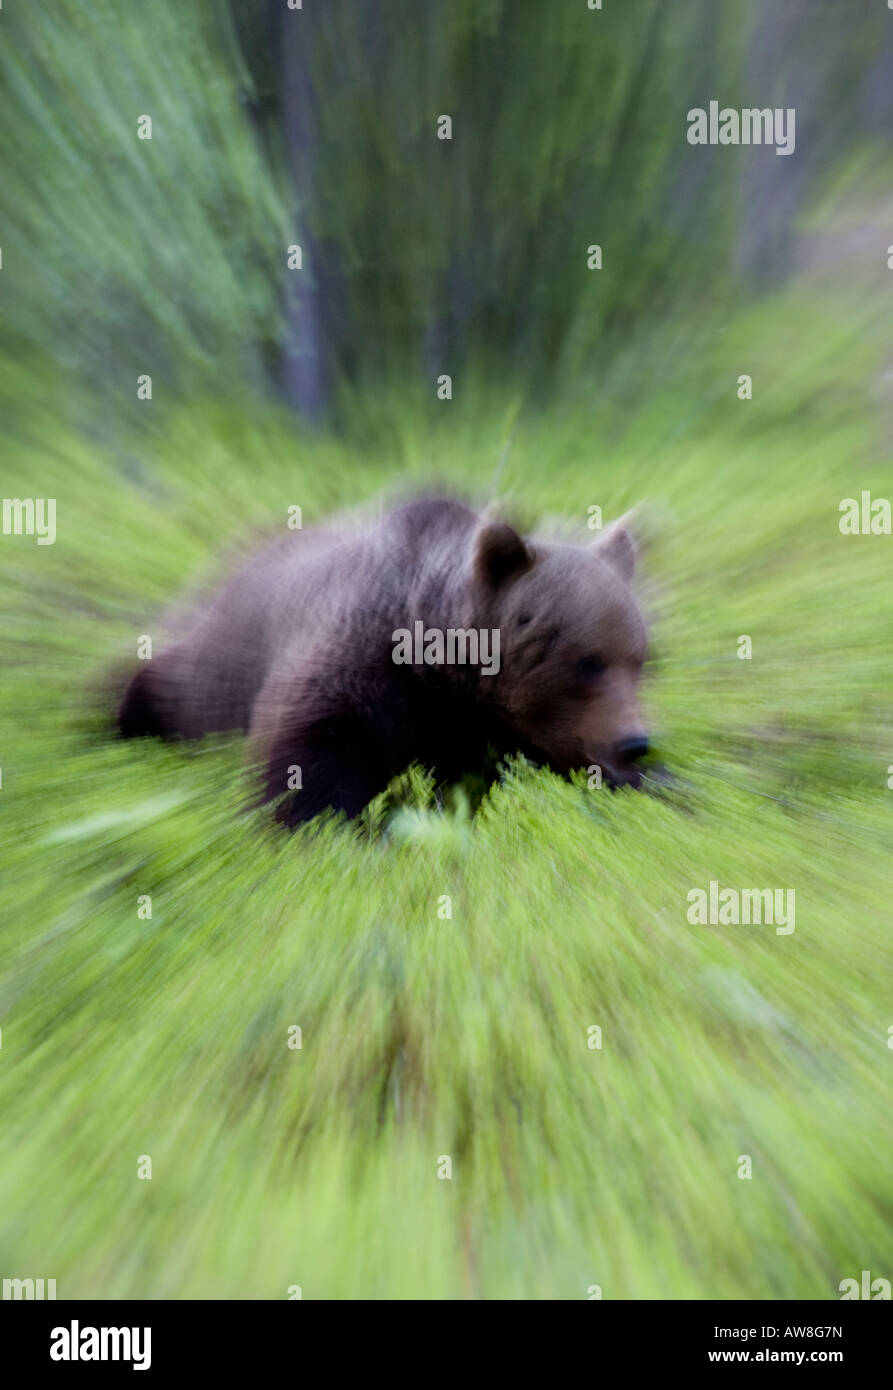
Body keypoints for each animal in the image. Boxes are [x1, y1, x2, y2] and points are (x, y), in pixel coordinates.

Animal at [117, 496, 650, 825]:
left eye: (640, 658)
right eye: (587, 662)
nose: (635, 743)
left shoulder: (473, 720)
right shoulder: (361, 664)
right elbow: (314, 756)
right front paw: (318, 827)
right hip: (201, 665)